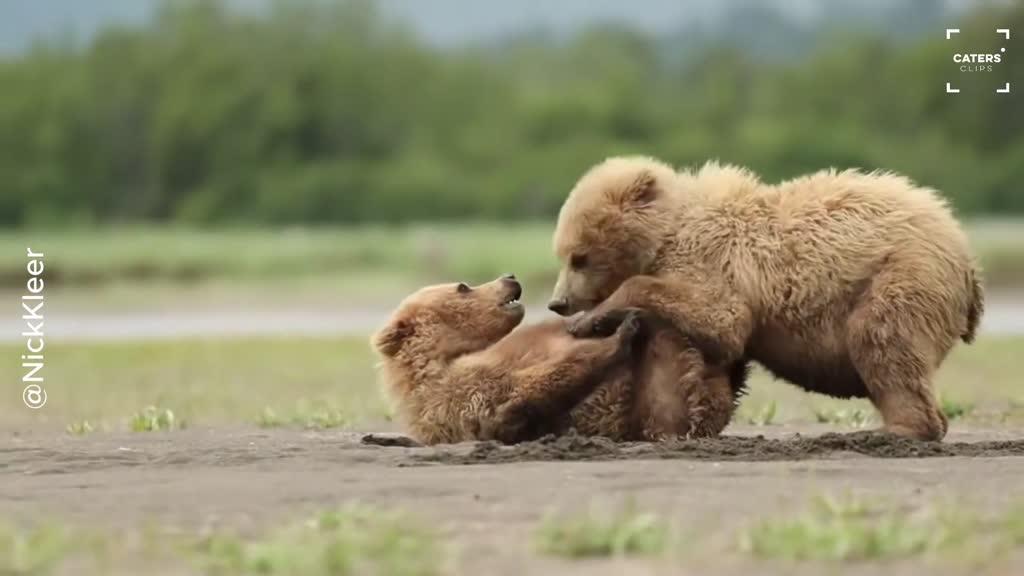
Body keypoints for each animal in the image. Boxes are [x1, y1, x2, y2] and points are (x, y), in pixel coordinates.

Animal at [371, 274, 745, 445]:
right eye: (463, 286)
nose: (509, 278)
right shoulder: (466, 396)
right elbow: (541, 385)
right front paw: (622, 332)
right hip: (663, 389)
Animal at [548, 156, 985, 442]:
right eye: (564, 254)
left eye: (579, 257)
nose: (558, 303)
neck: (665, 233)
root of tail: (966, 256)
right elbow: (716, 360)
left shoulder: (711, 260)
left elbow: (721, 316)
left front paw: (592, 319)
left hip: (901, 275)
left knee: (883, 341)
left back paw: (893, 429)